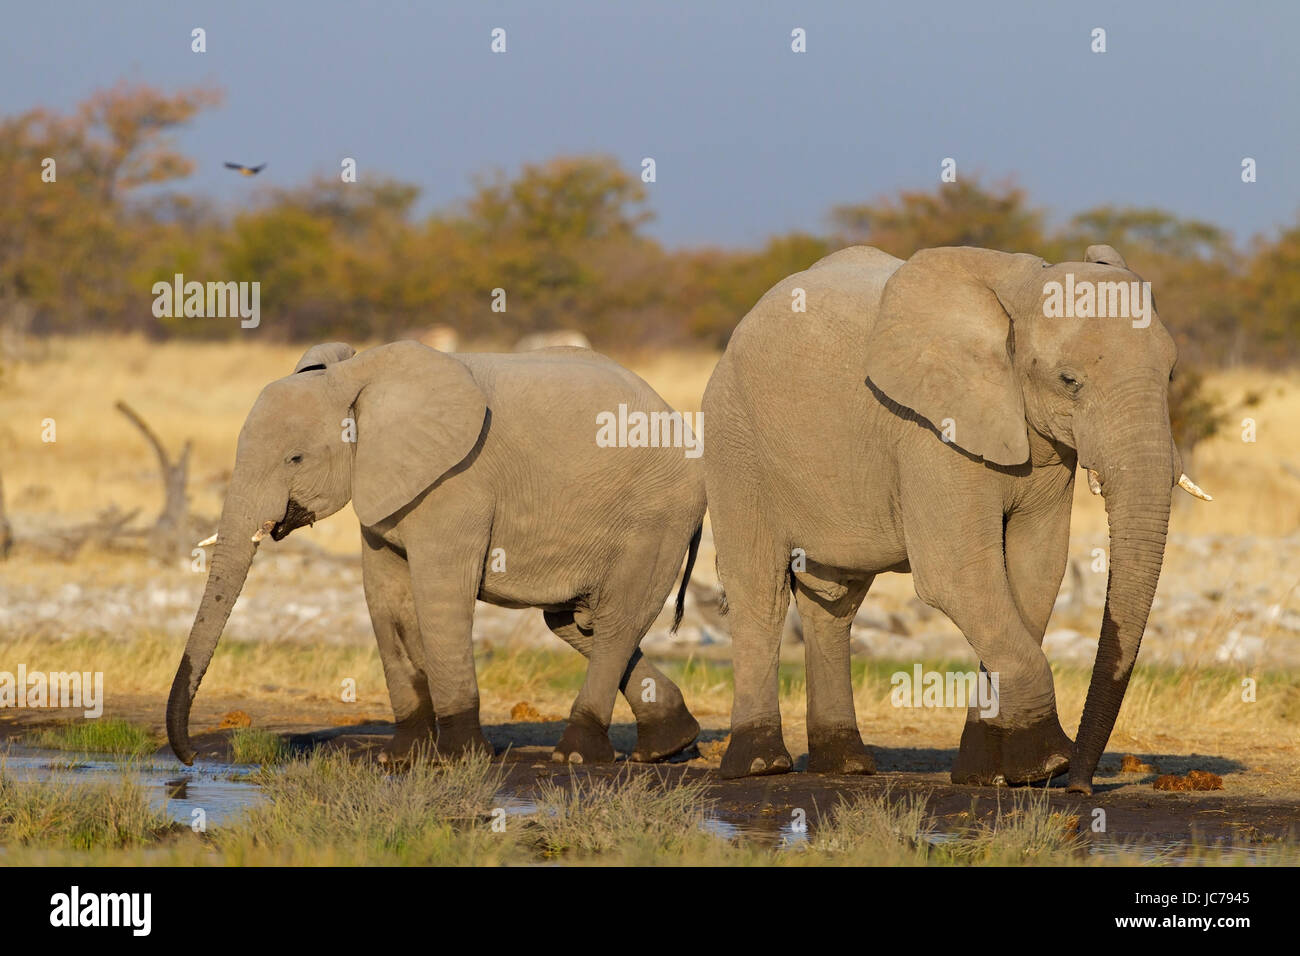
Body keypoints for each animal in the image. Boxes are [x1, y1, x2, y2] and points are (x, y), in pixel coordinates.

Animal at [167, 340, 706, 767]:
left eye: (295, 458)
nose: (191, 758)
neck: (356, 379)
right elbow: (387, 600)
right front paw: (401, 759)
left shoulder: (456, 484)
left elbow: (439, 599)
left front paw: (462, 758)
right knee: (574, 623)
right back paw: (671, 745)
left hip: (658, 517)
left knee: (614, 622)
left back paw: (576, 756)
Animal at [702, 244, 1210, 794]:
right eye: (1069, 381)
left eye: (1171, 375)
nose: (1082, 787)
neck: (1020, 292)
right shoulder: (931, 430)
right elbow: (958, 575)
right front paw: (1047, 764)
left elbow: (1033, 574)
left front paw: (992, 776)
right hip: (734, 439)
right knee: (760, 590)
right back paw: (759, 766)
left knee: (834, 602)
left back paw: (846, 766)